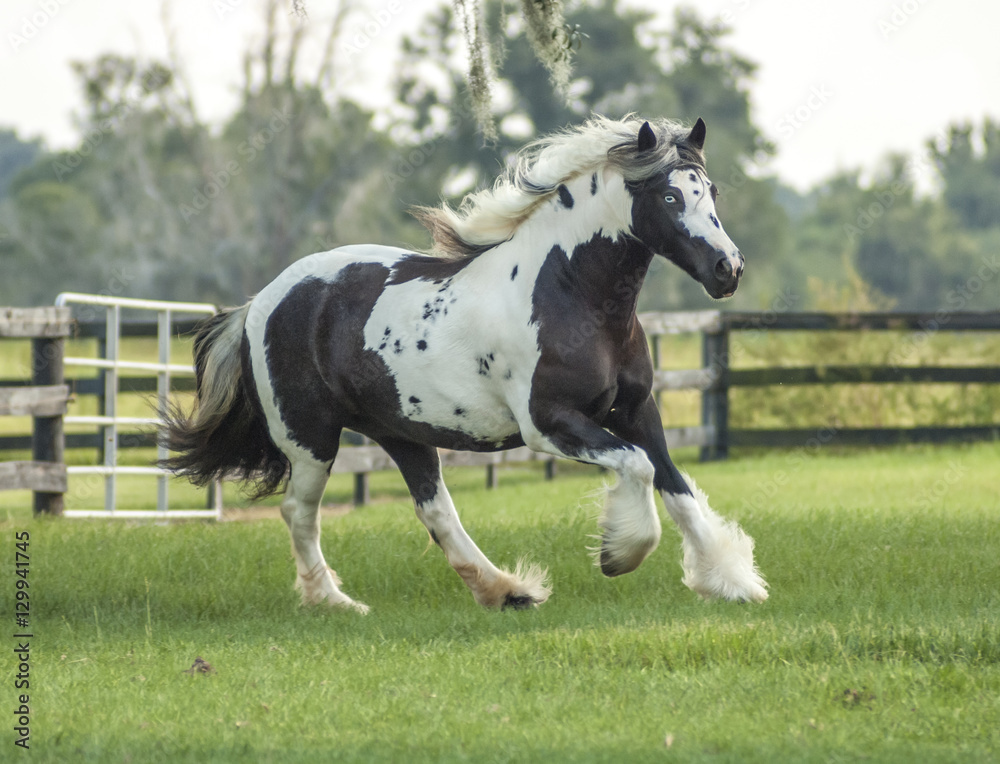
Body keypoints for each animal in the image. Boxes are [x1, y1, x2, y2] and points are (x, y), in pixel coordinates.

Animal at [161, 115, 768, 613]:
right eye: (668, 197)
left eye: (709, 190)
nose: (728, 268)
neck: (572, 295)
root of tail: (260, 302)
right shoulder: (550, 424)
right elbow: (639, 467)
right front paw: (619, 555)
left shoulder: (637, 410)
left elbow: (677, 487)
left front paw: (732, 582)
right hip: (310, 439)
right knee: (299, 512)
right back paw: (335, 602)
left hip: (402, 433)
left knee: (435, 512)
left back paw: (507, 592)